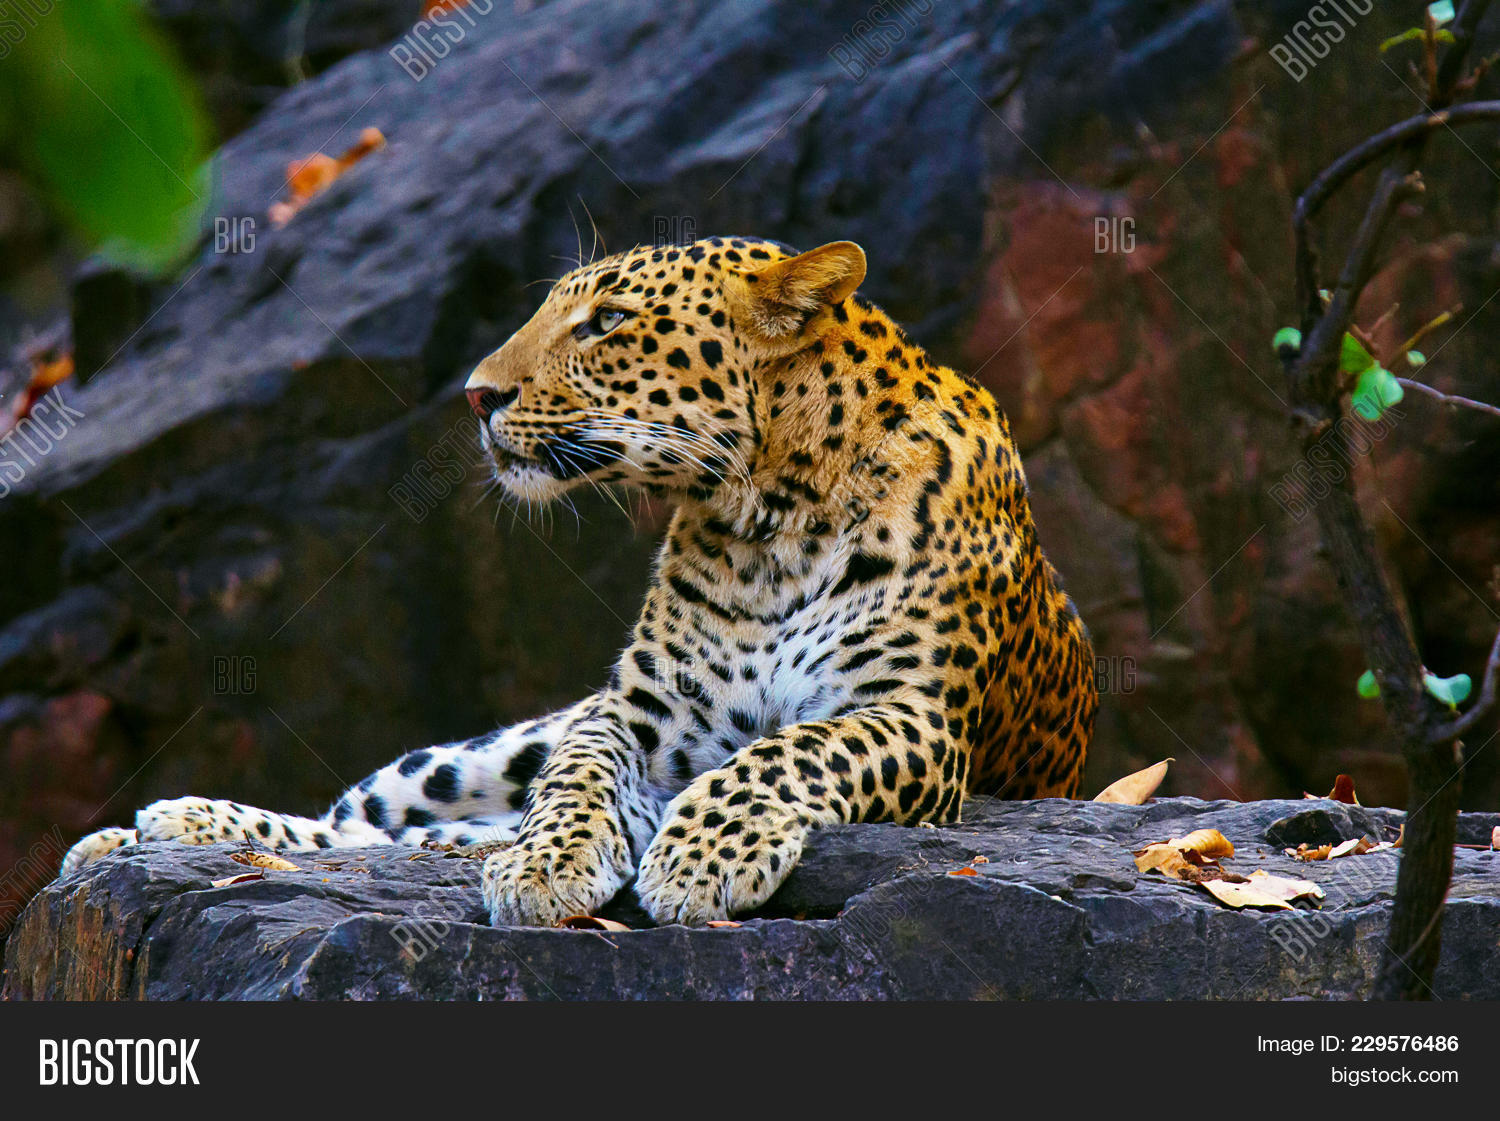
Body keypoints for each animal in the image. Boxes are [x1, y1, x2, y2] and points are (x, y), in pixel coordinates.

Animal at [59, 236, 1097, 927]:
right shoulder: (634, 711)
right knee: (367, 821)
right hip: (469, 755)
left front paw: (700, 856)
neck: (770, 517)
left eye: (607, 324)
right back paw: (165, 826)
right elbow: (577, 774)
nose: (477, 395)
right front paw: (547, 864)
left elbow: (789, 751)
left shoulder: (913, 714)